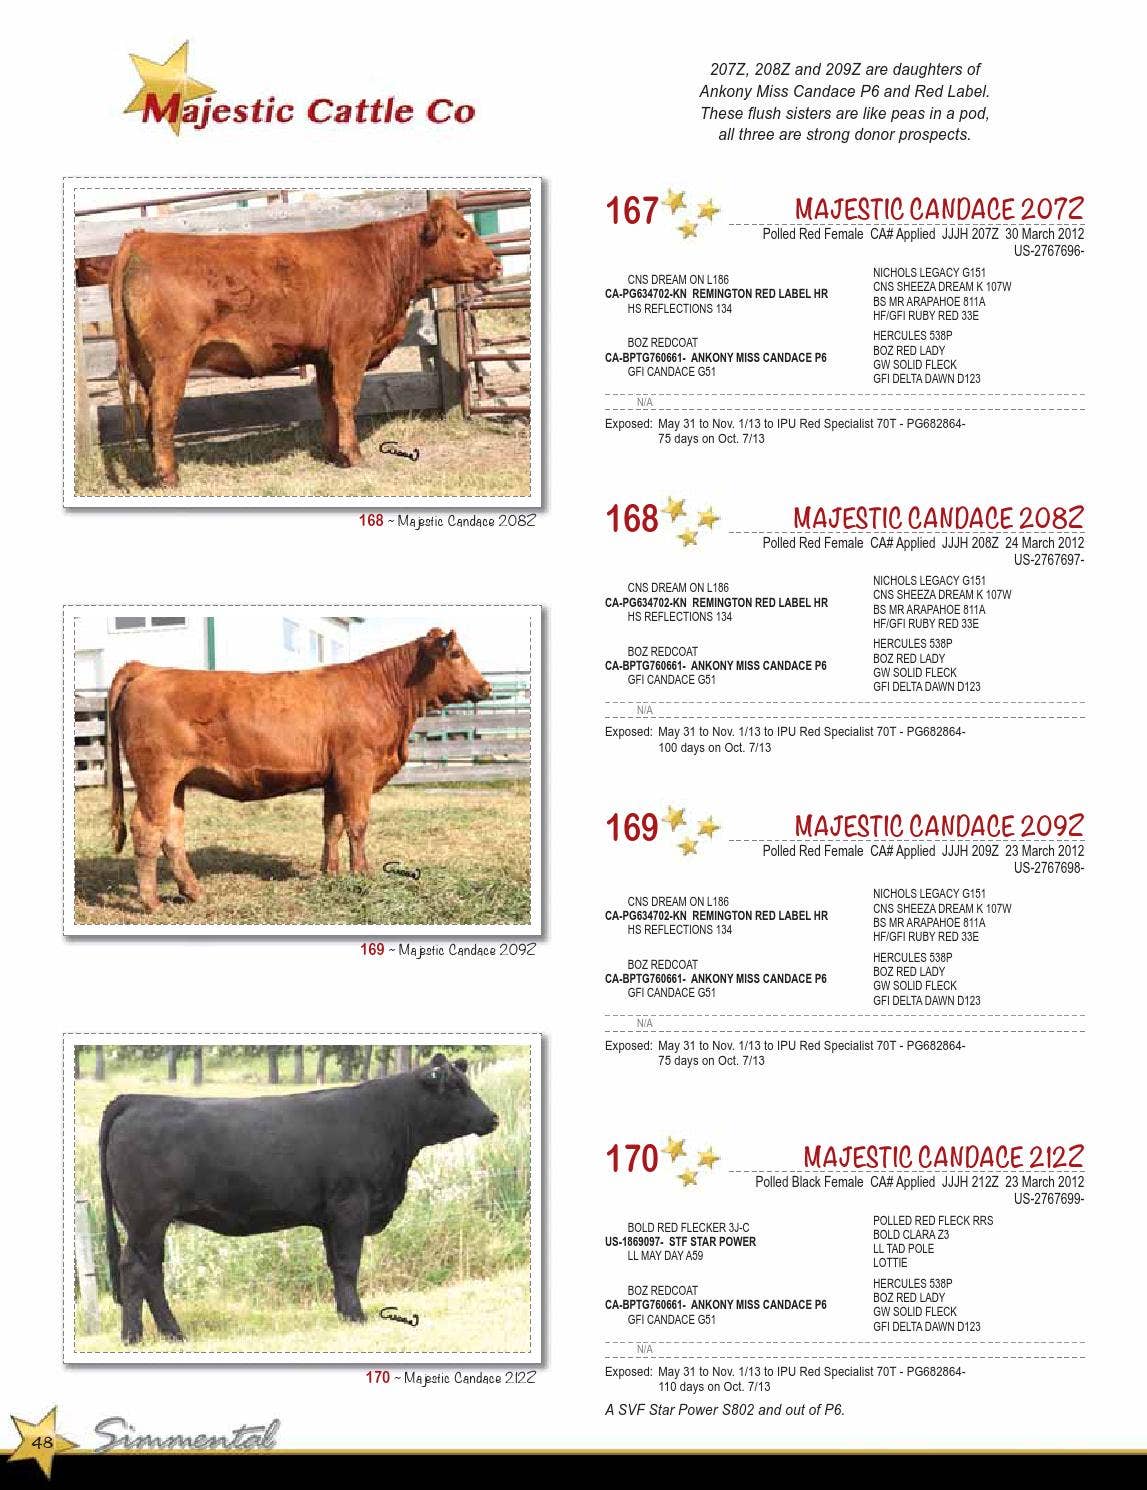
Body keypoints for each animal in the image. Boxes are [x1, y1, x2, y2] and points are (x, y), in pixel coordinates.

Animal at [98, 1054, 499, 1343]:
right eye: (455, 1089)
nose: (493, 1118)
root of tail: (136, 1099)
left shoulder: (329, 1216)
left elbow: (335, 1265)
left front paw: (343, 1313)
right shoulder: (351, 1204)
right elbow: (349, 1263)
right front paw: (358, 1316)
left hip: (145, 1223)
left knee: (148, 1271)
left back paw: (163, 1334)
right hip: (148, 1218)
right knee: (138, 1270)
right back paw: (141, 1336)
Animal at [106, 628, 492, 912]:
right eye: (456, 654)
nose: (486, 686)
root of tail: (149, 669)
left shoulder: (335, 777)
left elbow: (333, 825)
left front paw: (331, 874)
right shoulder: (357, 768)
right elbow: (357, 823)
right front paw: (363, 874)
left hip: (176, 783)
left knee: (171, 831)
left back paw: (193, 892)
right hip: (156, 777)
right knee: (147, 829)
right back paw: (152, 902)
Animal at [108, 197, 502, 486]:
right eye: (461, 233)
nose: (496, 265)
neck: (381, 260)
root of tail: (143, 237)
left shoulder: (325, 355)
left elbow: (327, 402)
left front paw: (333, 453)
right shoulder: (351, 346)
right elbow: (346, 400)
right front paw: (353, 455)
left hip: (146, 364)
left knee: (146, 408)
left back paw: (154, 472)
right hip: (172, 358)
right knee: (163, 411)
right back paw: (169, 476)